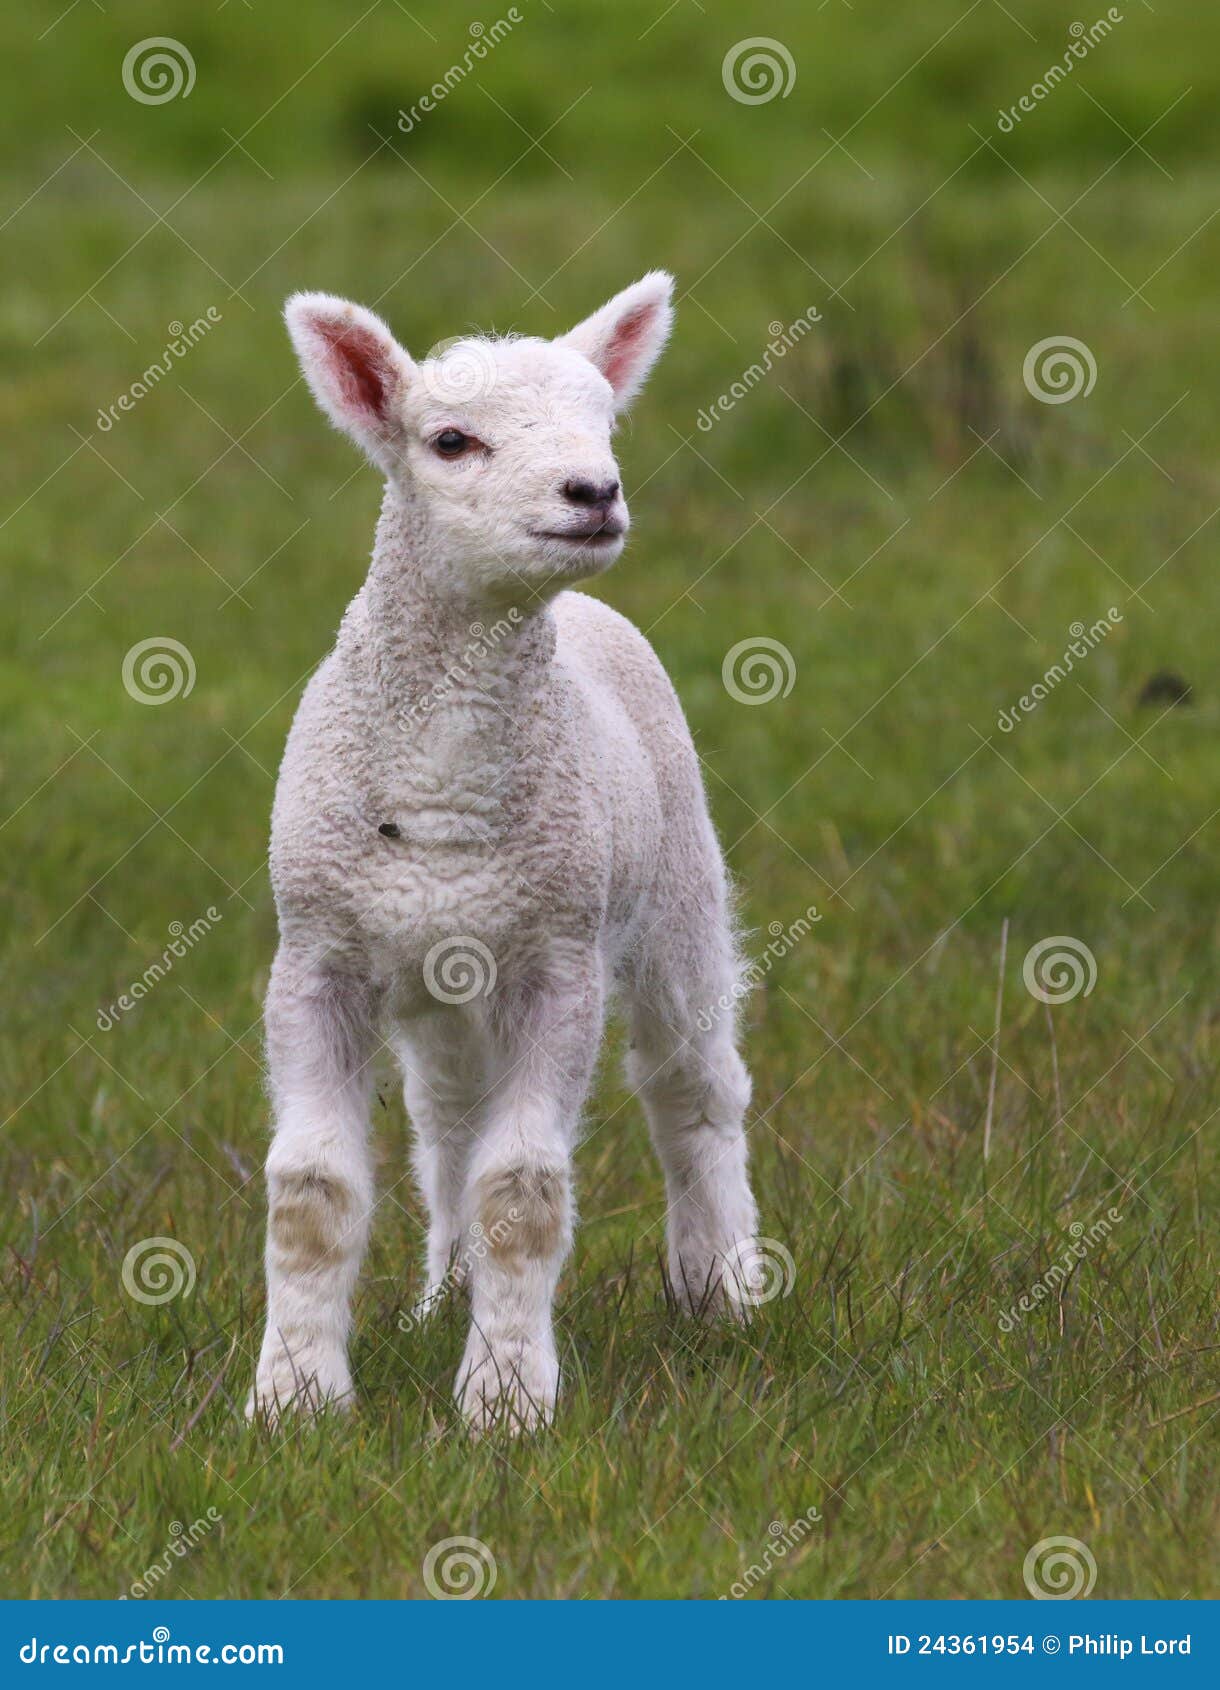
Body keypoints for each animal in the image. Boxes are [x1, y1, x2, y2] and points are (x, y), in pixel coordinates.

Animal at [249, 272, 762, 1433]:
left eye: (605, 422)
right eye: (450, 441)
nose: (593, 491)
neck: (442, 783)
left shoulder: (555, 964)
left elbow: (520, 1191)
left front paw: (506, 1402)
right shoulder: (318, 954)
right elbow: (312, 1192)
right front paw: (294, 1398)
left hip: (677, 889)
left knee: (694, 1089)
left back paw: (723, 1290)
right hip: (446, 972)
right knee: (446, 1123)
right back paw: (443, 1296)